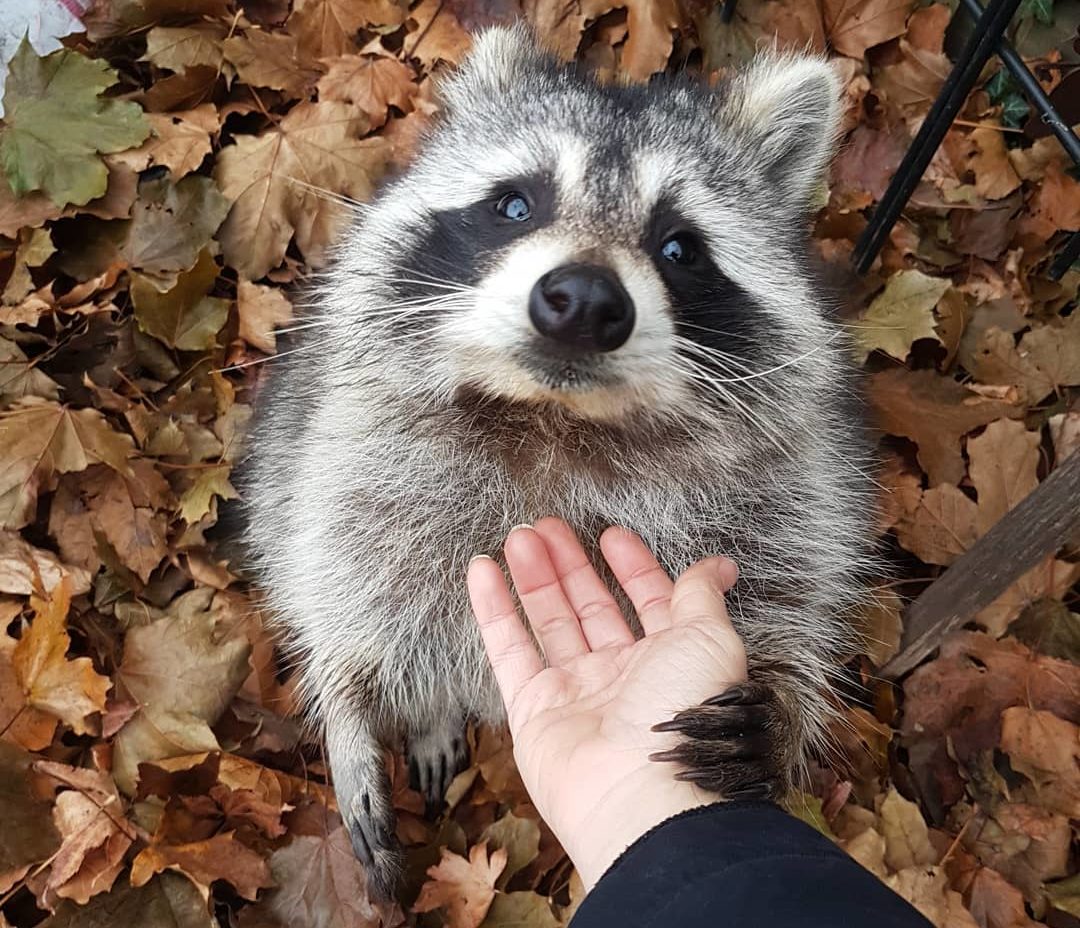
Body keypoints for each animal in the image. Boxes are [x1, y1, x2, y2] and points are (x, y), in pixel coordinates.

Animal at [243, 25, 879, 898]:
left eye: (680, 247)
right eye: (516, 204)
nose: (582, 300)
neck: (555, 423)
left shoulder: (793, 495)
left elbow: (793, 599)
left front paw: (780, 713)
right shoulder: (344, 452)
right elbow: (333, 582)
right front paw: (345, 705)